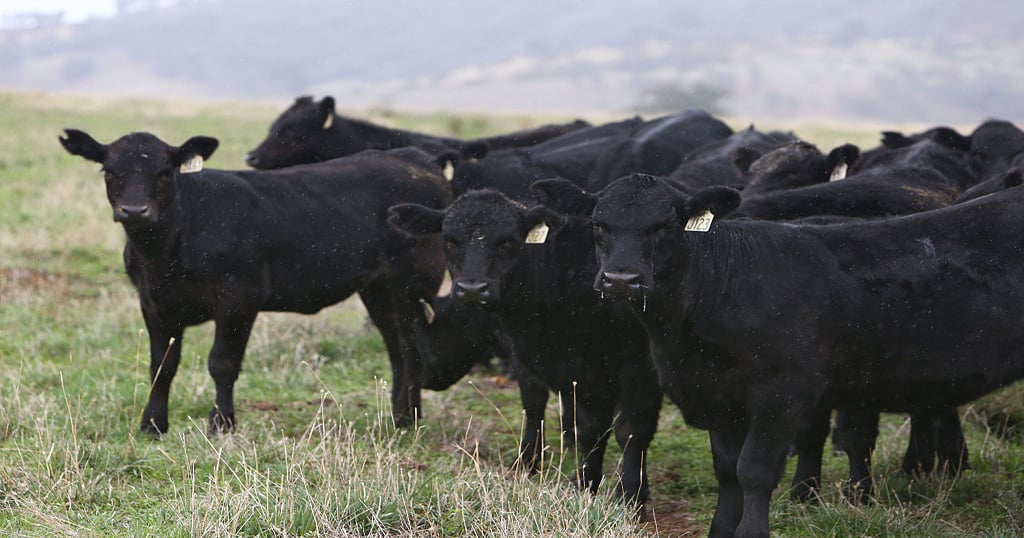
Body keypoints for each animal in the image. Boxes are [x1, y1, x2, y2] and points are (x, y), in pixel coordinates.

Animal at [59, 129, 450, 434]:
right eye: (110, 171)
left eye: (164, 172)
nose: (135, 211)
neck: (167, 249)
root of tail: (417, 158)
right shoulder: (154, 303)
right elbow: (162, 366)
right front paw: (153, 424)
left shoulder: (239, 296)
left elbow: (221, 363)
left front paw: (222, 424)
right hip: (377, 288)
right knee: (395, 343)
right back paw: (398, 416)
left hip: (415, 282)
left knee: (412, 345)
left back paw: (408, 418)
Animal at [388, 189, 662, 507]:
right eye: (449, 240)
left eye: (508, 241)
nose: (472, 288)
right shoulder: (570, 366)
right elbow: (569, 419)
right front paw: (568, 478)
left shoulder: (639, 367)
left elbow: (631, 431)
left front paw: (630, 496)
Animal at [533, 172, 1024, 537]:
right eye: (598, 224)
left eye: (666, 225)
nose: (621, 279)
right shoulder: (719, 398)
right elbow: (727, 471)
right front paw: (720, 530)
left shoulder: (781, 395)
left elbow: (754, 470)